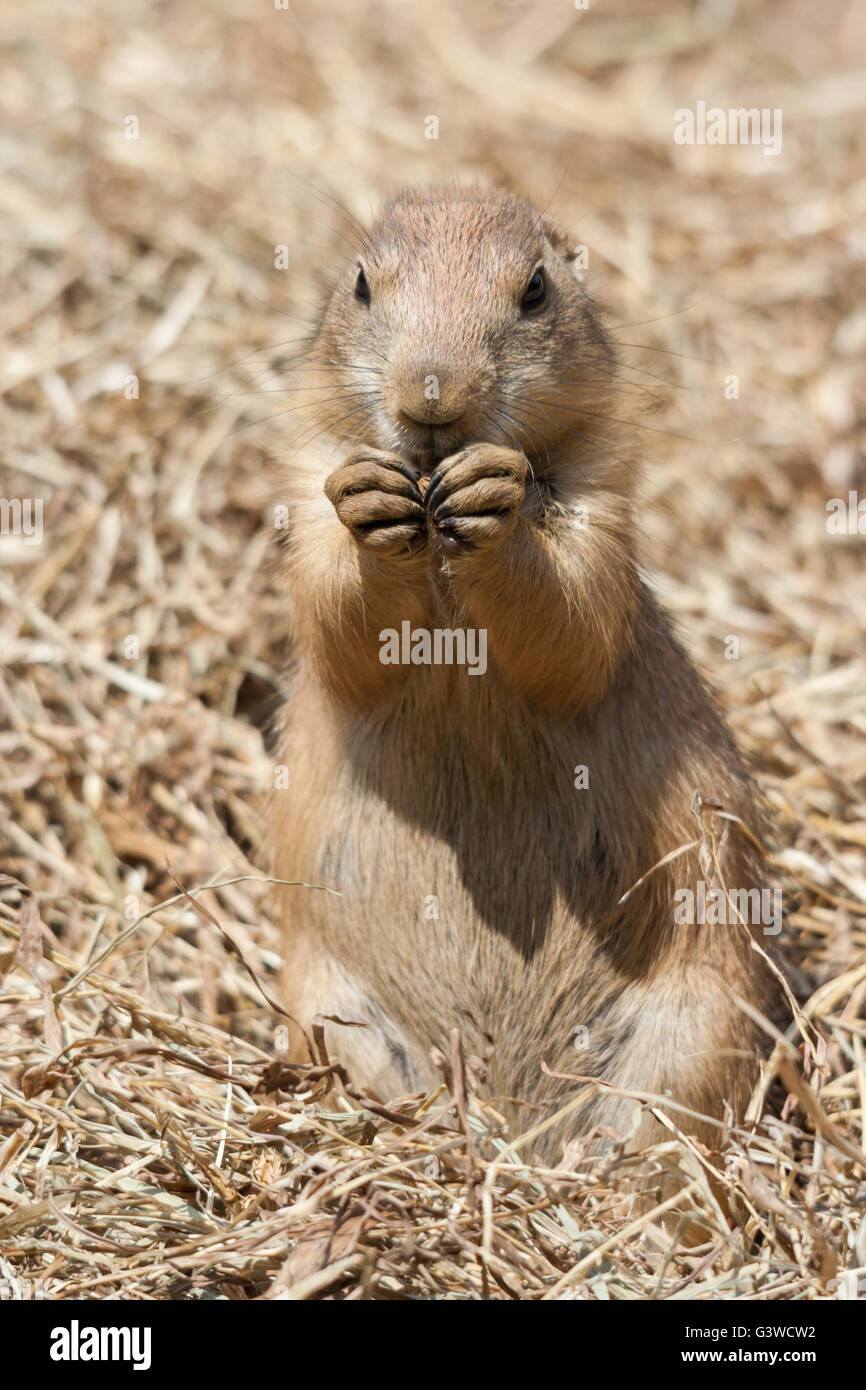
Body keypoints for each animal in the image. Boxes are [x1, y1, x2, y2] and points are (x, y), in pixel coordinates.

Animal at [271, 184, 779, 1158]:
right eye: (360, 283)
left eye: (537, 289)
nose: (432, 396)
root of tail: (512, 1120)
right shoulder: (306, 497)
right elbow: (338, 617)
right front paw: (371, 504)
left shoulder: (601, 502)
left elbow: (573, 620)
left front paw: (495, 502)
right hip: (328, 1008)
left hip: (701, 1019)